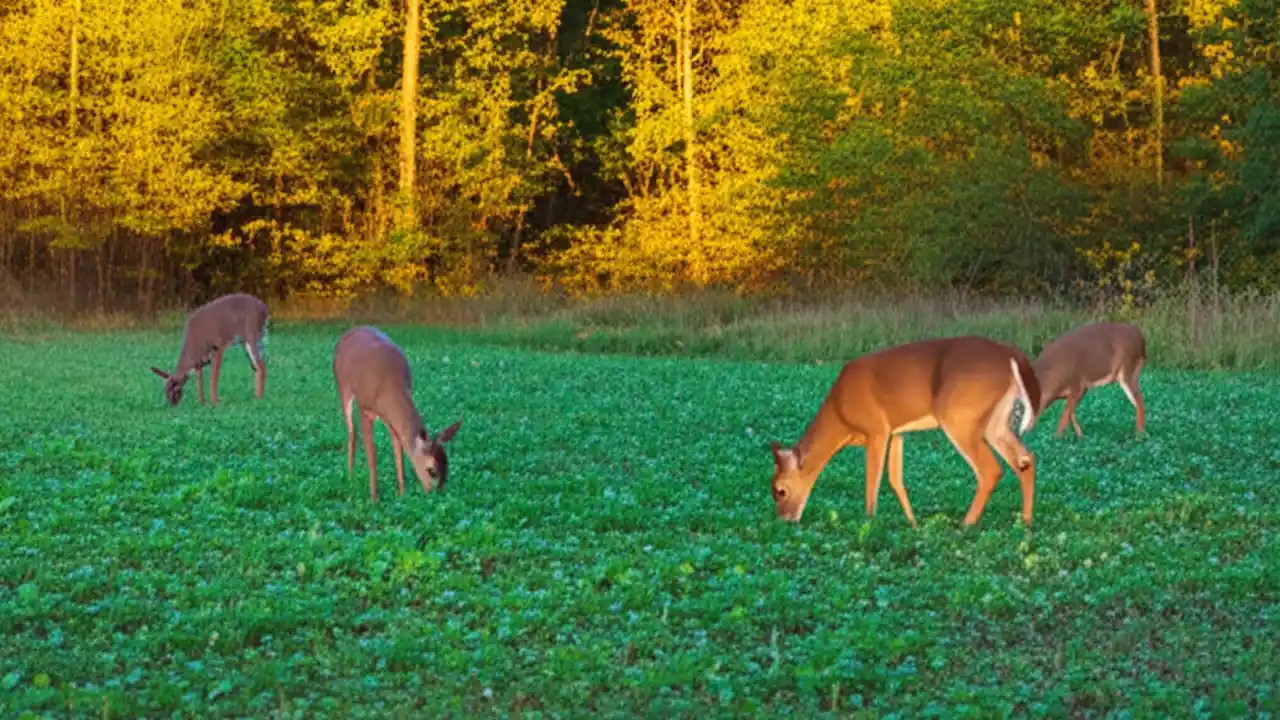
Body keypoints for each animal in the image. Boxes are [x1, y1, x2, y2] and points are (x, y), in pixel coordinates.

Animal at [333, 325, 463, 502]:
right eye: (431, 470)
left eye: (447, 465)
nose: (438, 494)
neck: (388, 387)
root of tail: (350, 331)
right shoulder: (364, 408)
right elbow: (371, 451)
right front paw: (374, 497)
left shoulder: (390, 417)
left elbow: (398, 445)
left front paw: (402, 493)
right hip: (343, 387)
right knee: (352, 433)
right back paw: (351, 477)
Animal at [768, 336, 1041, 528]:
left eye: (780, 491)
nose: (786, 521)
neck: (840, 416)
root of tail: (1011, 354)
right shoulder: (896, 432)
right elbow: (895, 479)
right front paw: (913, 524)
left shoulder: (877, 428)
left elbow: (872, 480)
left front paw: (869, 522)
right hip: (996, 420)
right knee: (1027, 459)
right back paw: (1027, 522)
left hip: (958, 414)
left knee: (991, 469)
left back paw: (966, 524)